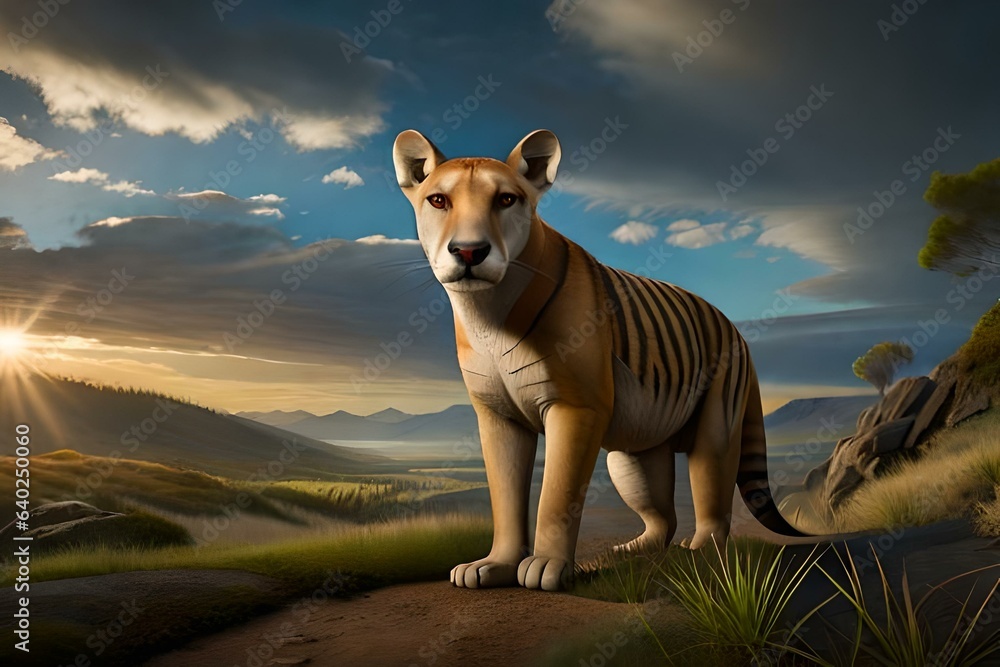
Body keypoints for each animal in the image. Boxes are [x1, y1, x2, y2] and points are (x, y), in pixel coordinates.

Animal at [392, 128, 804, 592]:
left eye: (506, 200)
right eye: (438, 200)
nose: (468, 251)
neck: (489, 314)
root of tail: (732, 325)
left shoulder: (576, 407)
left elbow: (557, 493)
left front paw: (546, 566)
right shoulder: (499, 417)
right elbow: (505, 493)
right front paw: (494, 565)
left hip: (715, 427)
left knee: (712, 494)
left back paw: (701, 550)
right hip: (632, 453)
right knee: (662, 514)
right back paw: (631, 549)